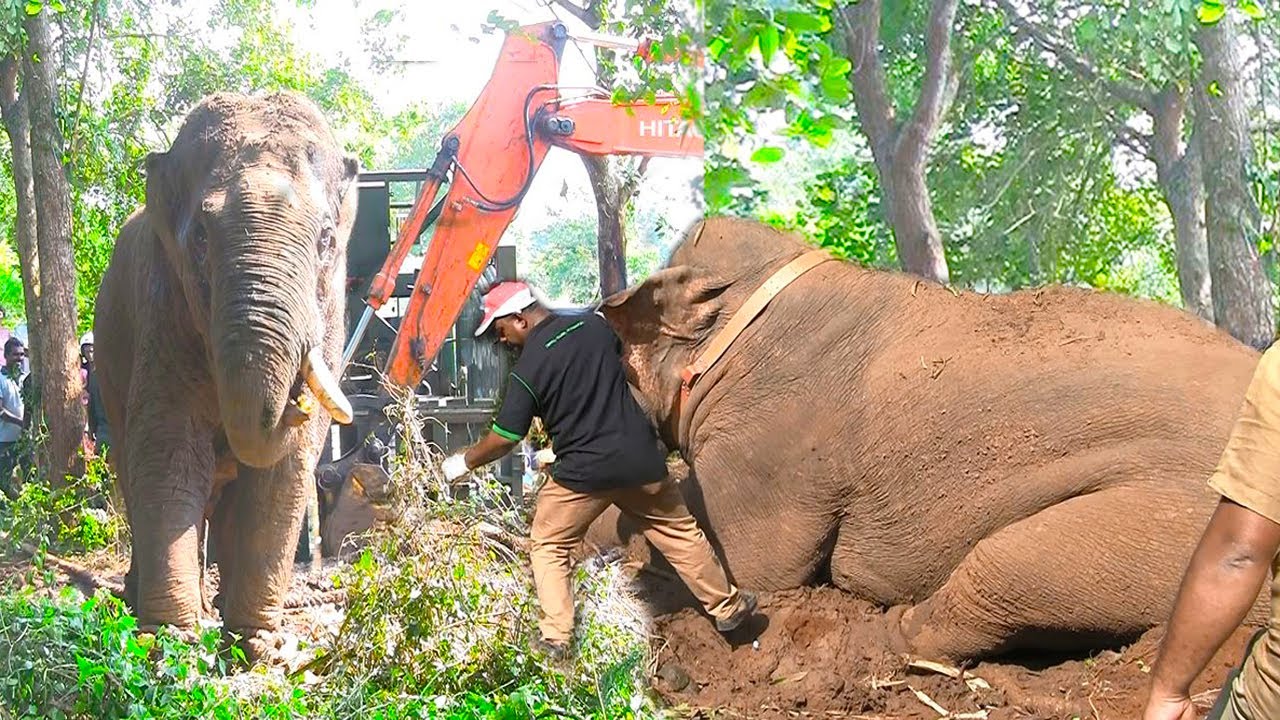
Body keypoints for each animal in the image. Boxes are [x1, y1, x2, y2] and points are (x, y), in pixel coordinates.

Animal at [94, 91, 358, 658]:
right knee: (133, 464)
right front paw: (168, 640)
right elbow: (168, 450)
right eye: (198, 238)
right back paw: (146, 598)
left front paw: (254, 645)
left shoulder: (333, 311)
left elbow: (284, 471)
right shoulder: (163, 307)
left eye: (327, 239)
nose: (296, 402)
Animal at [589, 215, 1265, 661]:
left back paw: (890, 634)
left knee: (1006, 565)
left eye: (618, 351)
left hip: (1186, 527)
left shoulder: (776, 438)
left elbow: (745, 556)